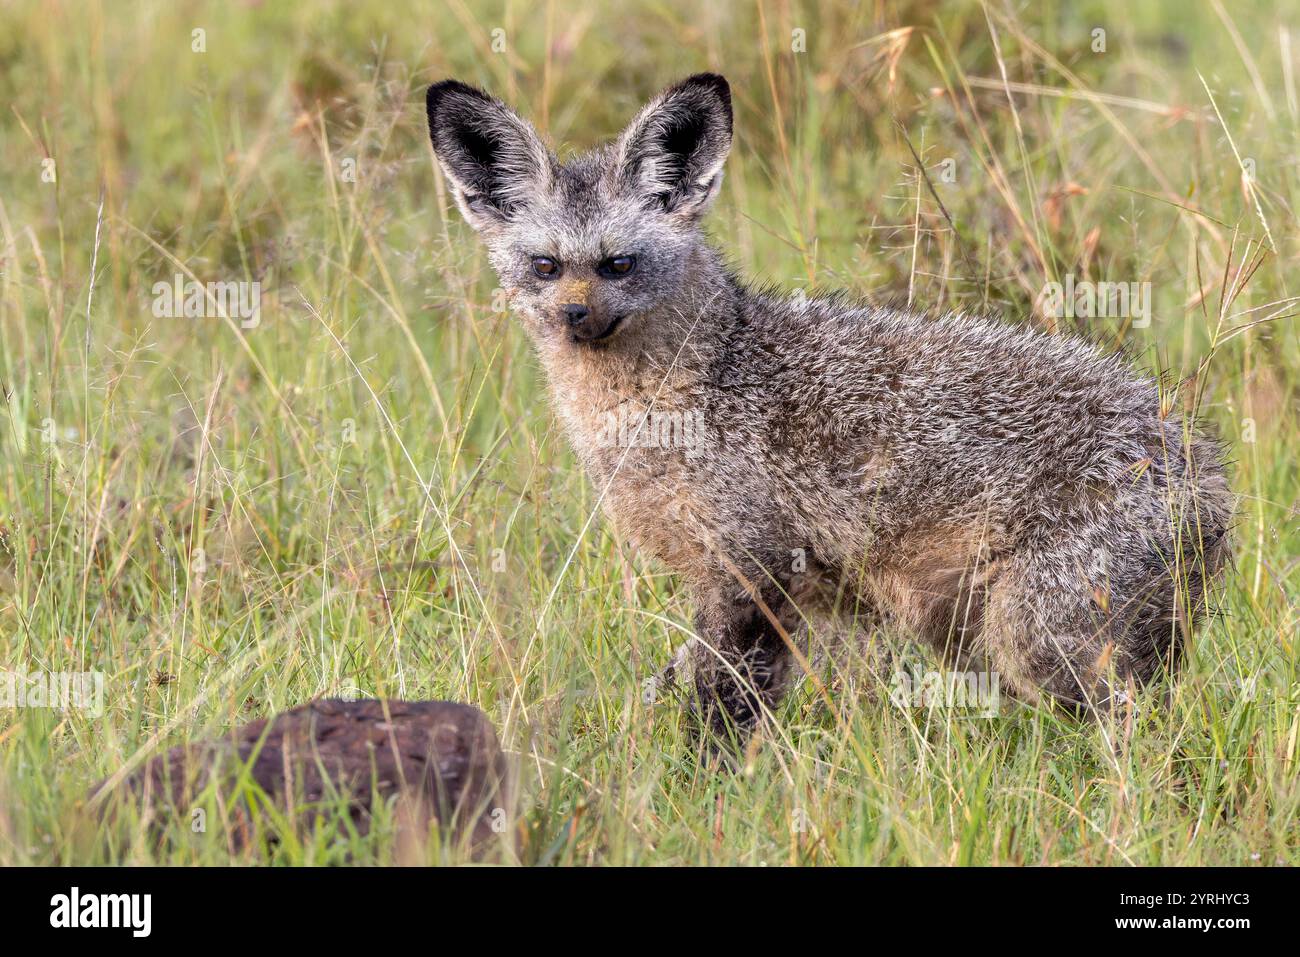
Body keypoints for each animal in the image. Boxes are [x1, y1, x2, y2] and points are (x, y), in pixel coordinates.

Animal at [425, 73, 1233, 740]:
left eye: (618, 264)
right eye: (545, 266)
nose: (575, 317)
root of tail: (1204, 467)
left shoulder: (751, 571)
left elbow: (718, 713)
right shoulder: (754, 591)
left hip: (1041, 644)